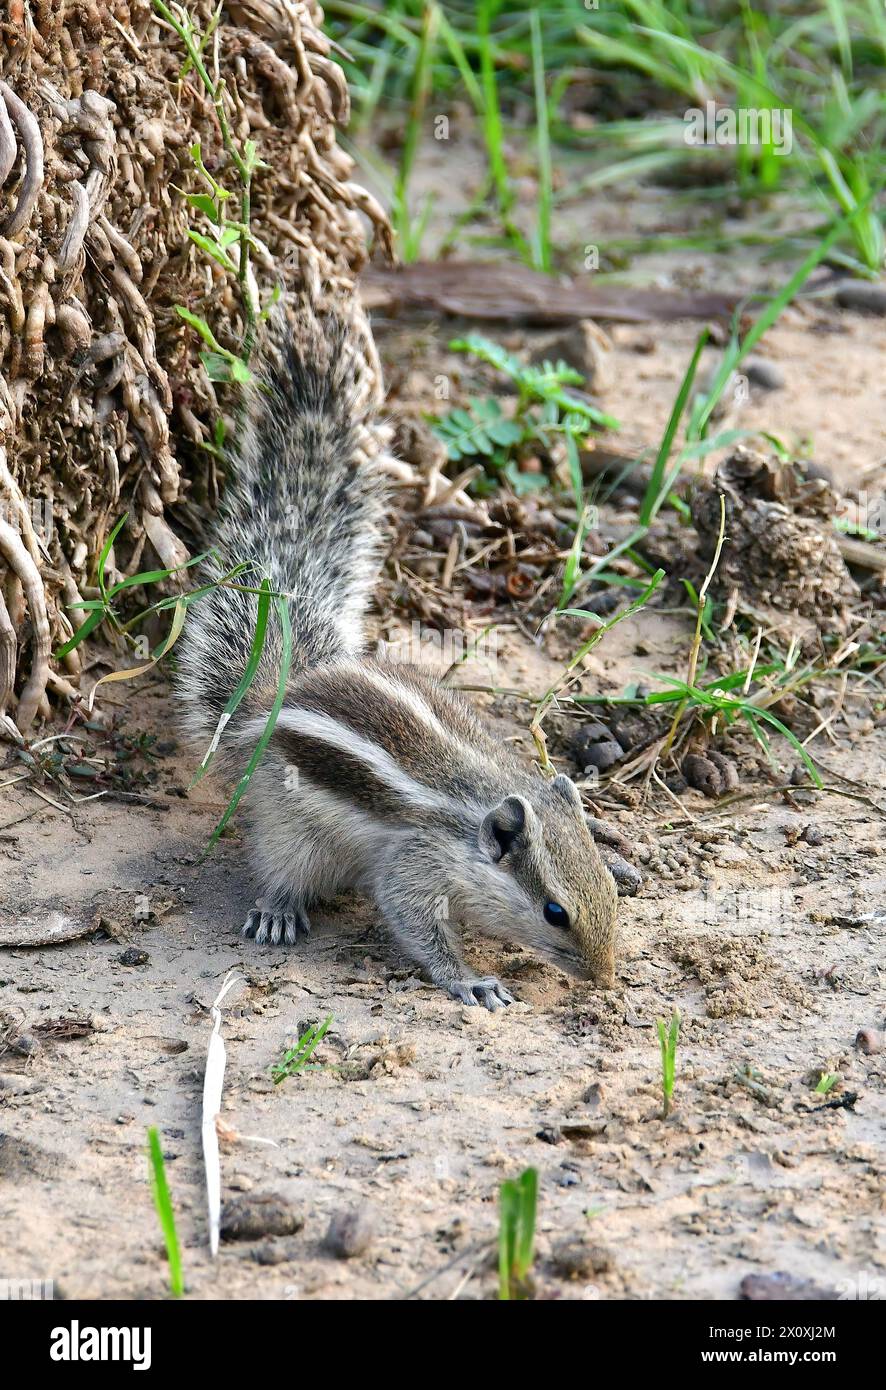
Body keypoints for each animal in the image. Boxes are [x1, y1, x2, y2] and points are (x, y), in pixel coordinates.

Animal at [177, 295, 629, 1010]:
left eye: (606, 889)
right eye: (555, 912)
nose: (607, 978)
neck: (472, 813)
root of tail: (275, 694)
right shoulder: (415, 863)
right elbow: (414, 921)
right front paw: (471, 979)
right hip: (290, 821)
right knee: (281, 863)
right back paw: (278, 907)